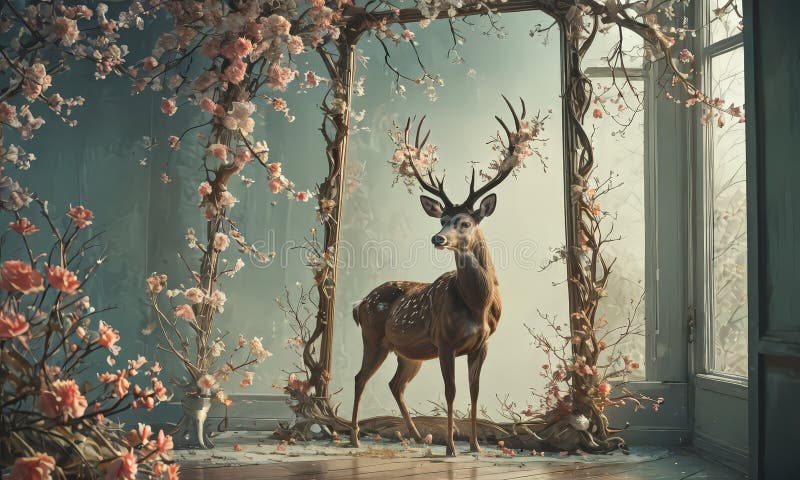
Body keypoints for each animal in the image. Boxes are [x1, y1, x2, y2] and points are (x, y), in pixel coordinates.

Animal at [351, 97, 529, 456]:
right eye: (442, 219)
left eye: (465, 222)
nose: (438, 238)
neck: (479, 305)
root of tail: (359, 304)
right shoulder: (445, 340)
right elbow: (451, 391)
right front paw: (450, 448)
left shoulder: (482, 344)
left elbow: (474, 392)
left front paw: (474, 445)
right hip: (373, 337)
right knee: (360, 378)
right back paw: (353, 437)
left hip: (407, 352)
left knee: (395, 384)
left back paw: (418, 436)